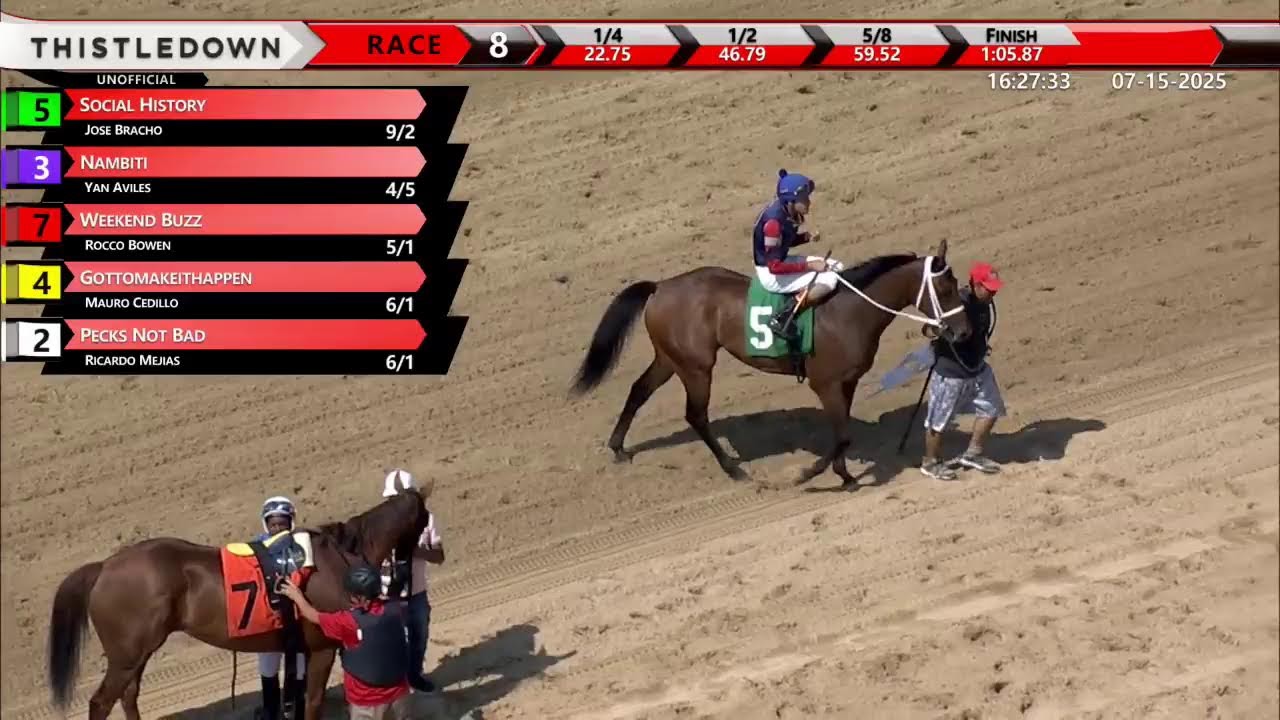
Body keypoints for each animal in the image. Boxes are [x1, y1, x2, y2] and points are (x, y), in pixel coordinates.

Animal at [46, 488, 432, 720]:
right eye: (425, 520)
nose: (405, 570)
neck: (341, 558)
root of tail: (104, 566)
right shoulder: (323, 647)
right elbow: (313, 701)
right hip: (127, 655)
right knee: (101, 702)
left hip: (135, 655)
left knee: (128, 696)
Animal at [571, 239, 974, 485]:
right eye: (946, 288)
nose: (964, 332)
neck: (849, 311)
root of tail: (661, 286)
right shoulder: (825, 383)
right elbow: (842, 435)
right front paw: (810, 473)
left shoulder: (848, 382)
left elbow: (843, 434)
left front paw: (843, 475)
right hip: (697, 366)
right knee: (696, 415)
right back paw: (734, 470)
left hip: (670, 358)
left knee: (639, 390)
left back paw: (619, 447)